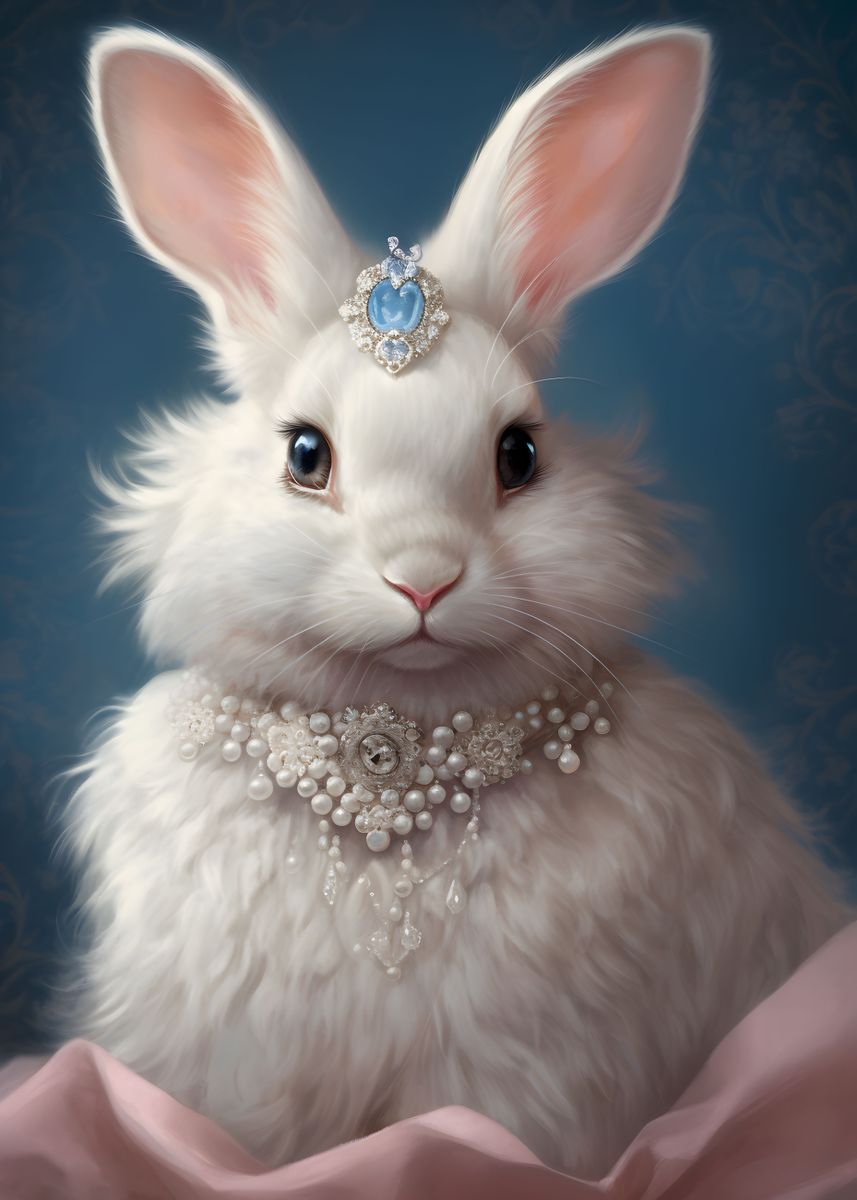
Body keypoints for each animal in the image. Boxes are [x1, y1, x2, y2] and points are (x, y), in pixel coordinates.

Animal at [58, 24, 849, 1178]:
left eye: (518, 455)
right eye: (305, 455)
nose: (422, 578)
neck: (393, 764)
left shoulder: (527, 1069)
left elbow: (472, 1144)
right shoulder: (234, 1059)